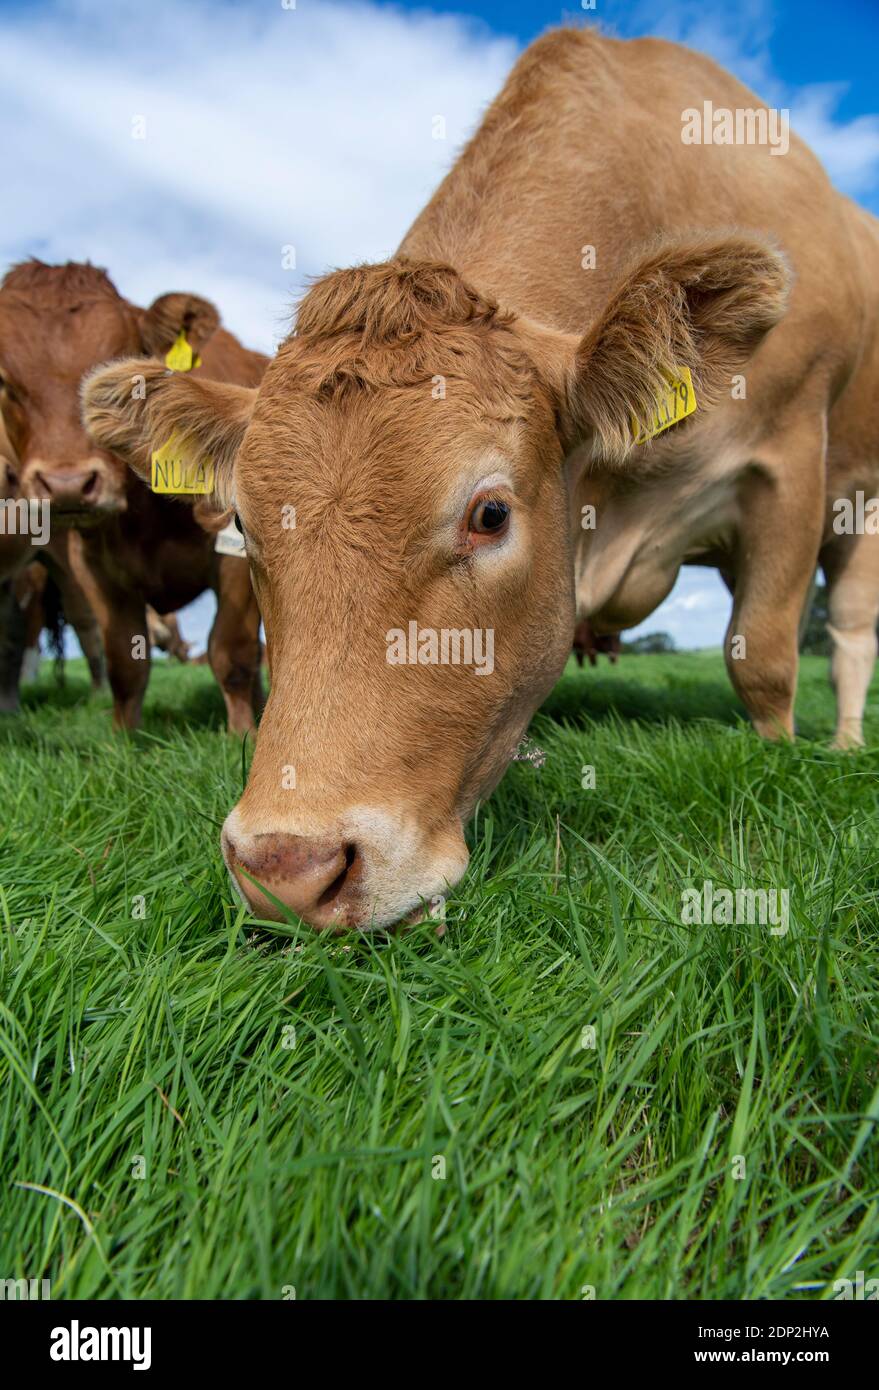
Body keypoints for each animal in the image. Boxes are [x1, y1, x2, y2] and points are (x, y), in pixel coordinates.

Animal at [0, 260, 267, 731]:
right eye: (5, 382)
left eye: (122, 354)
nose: (67, 485)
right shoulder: (92, 566)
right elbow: (125, 660)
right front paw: (123, 734)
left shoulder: (234, 554)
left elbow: (231, 652)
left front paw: (241, 733)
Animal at [82, 27, 879, 931]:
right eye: (246, 526)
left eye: (490, 515)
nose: (287, 869)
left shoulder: (788, 458)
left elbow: (765, 659)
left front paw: (788, 752)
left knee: (849, 633)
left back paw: (846, 740)